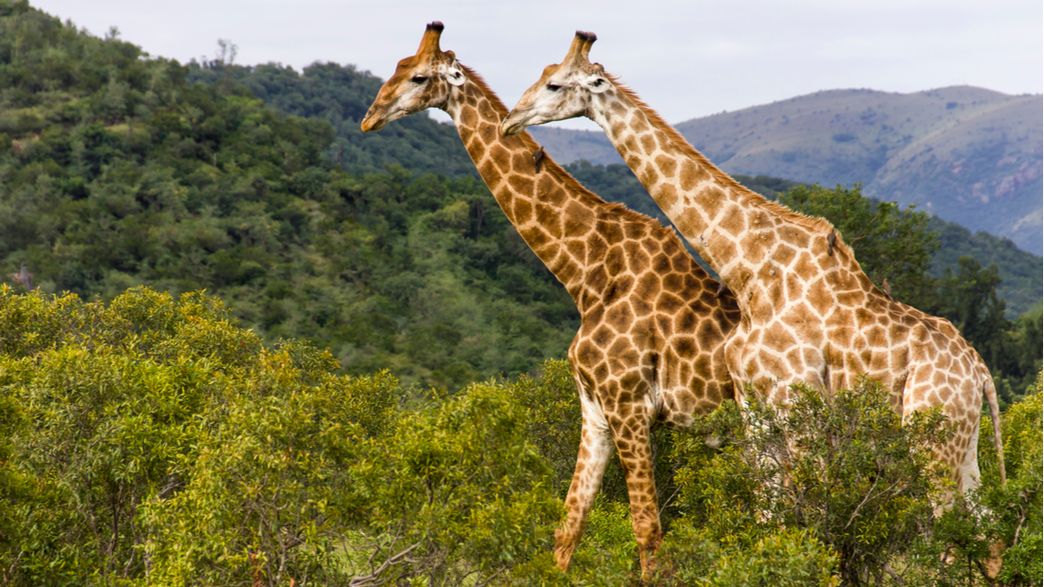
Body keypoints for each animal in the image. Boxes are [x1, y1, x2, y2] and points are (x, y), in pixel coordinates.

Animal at [360, 23, 740, 578]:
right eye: (395, 66)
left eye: (419, 76)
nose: (369, 117)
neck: (587, 274)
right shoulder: (595, 408)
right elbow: (567, 527)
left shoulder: (629, 404)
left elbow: (647, 531)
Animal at [502, 32, 1005, 494]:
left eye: (554, 84)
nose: (510, 120)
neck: (750, 270)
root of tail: (980, 374)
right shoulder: (754, 409)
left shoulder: (796, 401)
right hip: (963, 448)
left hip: (931, 437)